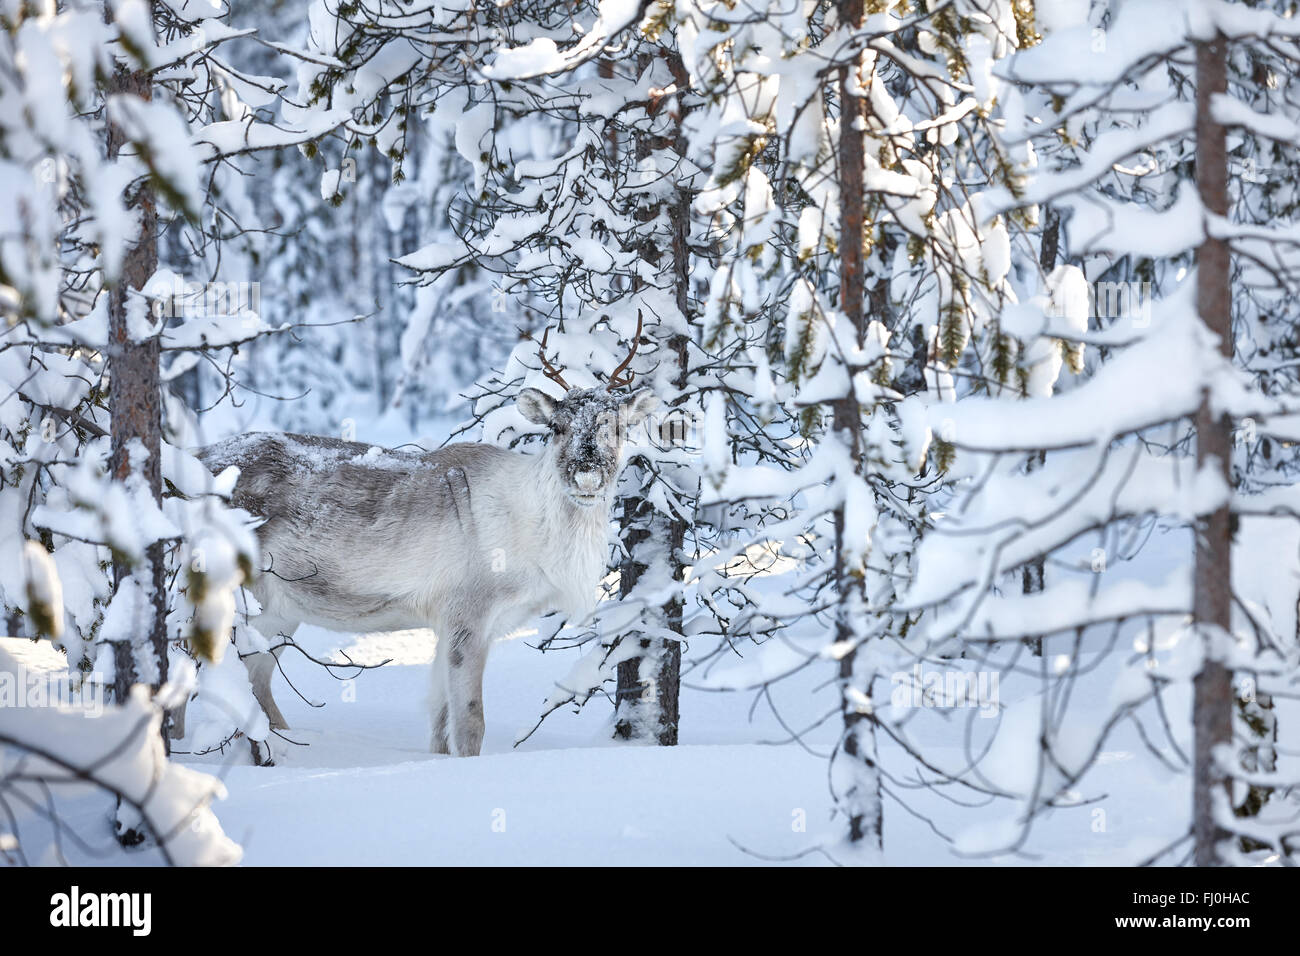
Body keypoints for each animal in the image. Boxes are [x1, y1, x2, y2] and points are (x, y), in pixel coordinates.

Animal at [172, 319, 656, 762]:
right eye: (556, 427)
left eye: (616, 426)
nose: (586, 471)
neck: (540, 545)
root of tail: (190, 460)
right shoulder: (468, 610)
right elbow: (470, 723)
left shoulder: (446, 622)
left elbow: (440, 721)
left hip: (279, 608)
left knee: (253, 676)